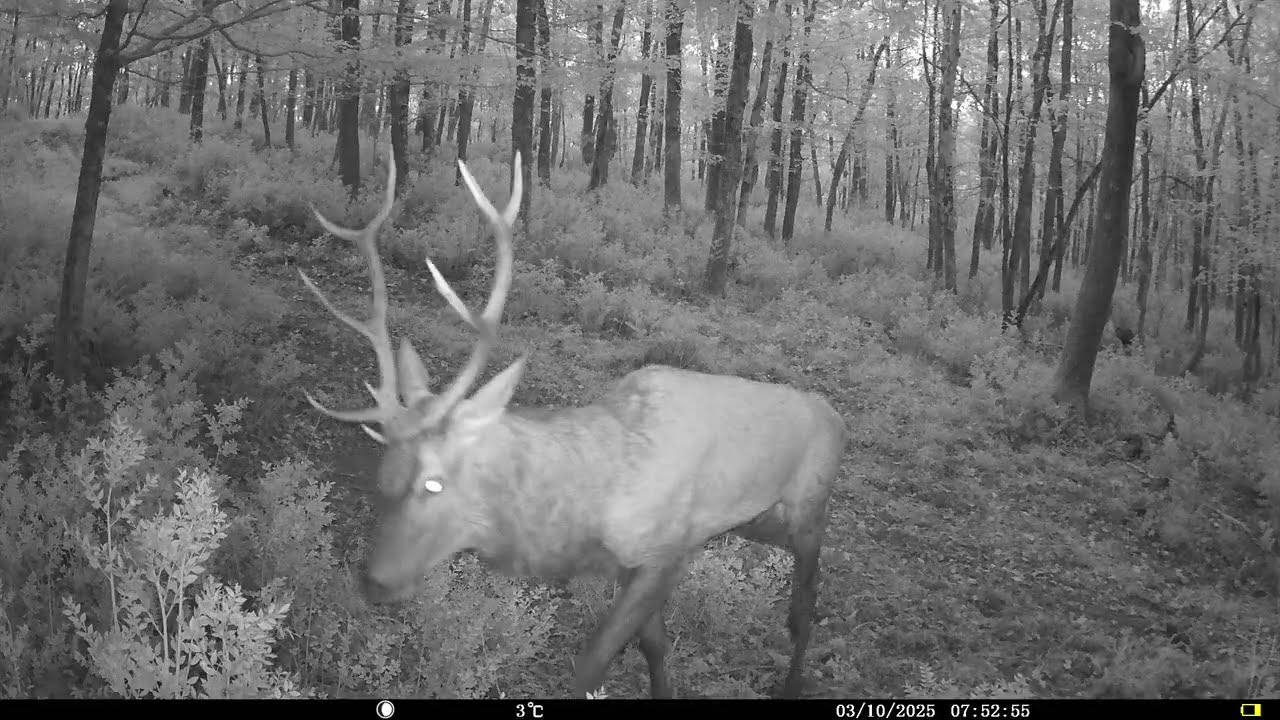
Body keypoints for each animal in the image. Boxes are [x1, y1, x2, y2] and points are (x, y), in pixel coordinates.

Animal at [298, 153, 847, 699]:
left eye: (433, 482)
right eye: (382, 477)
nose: (374, 581)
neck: (590, 503)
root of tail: (836, 417)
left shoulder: (665, 552)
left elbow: (592, 665)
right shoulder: (635, 564)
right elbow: (654, 647)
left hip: (808, 508)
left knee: (805, 605)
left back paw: (794, 683)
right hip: (761, 521)